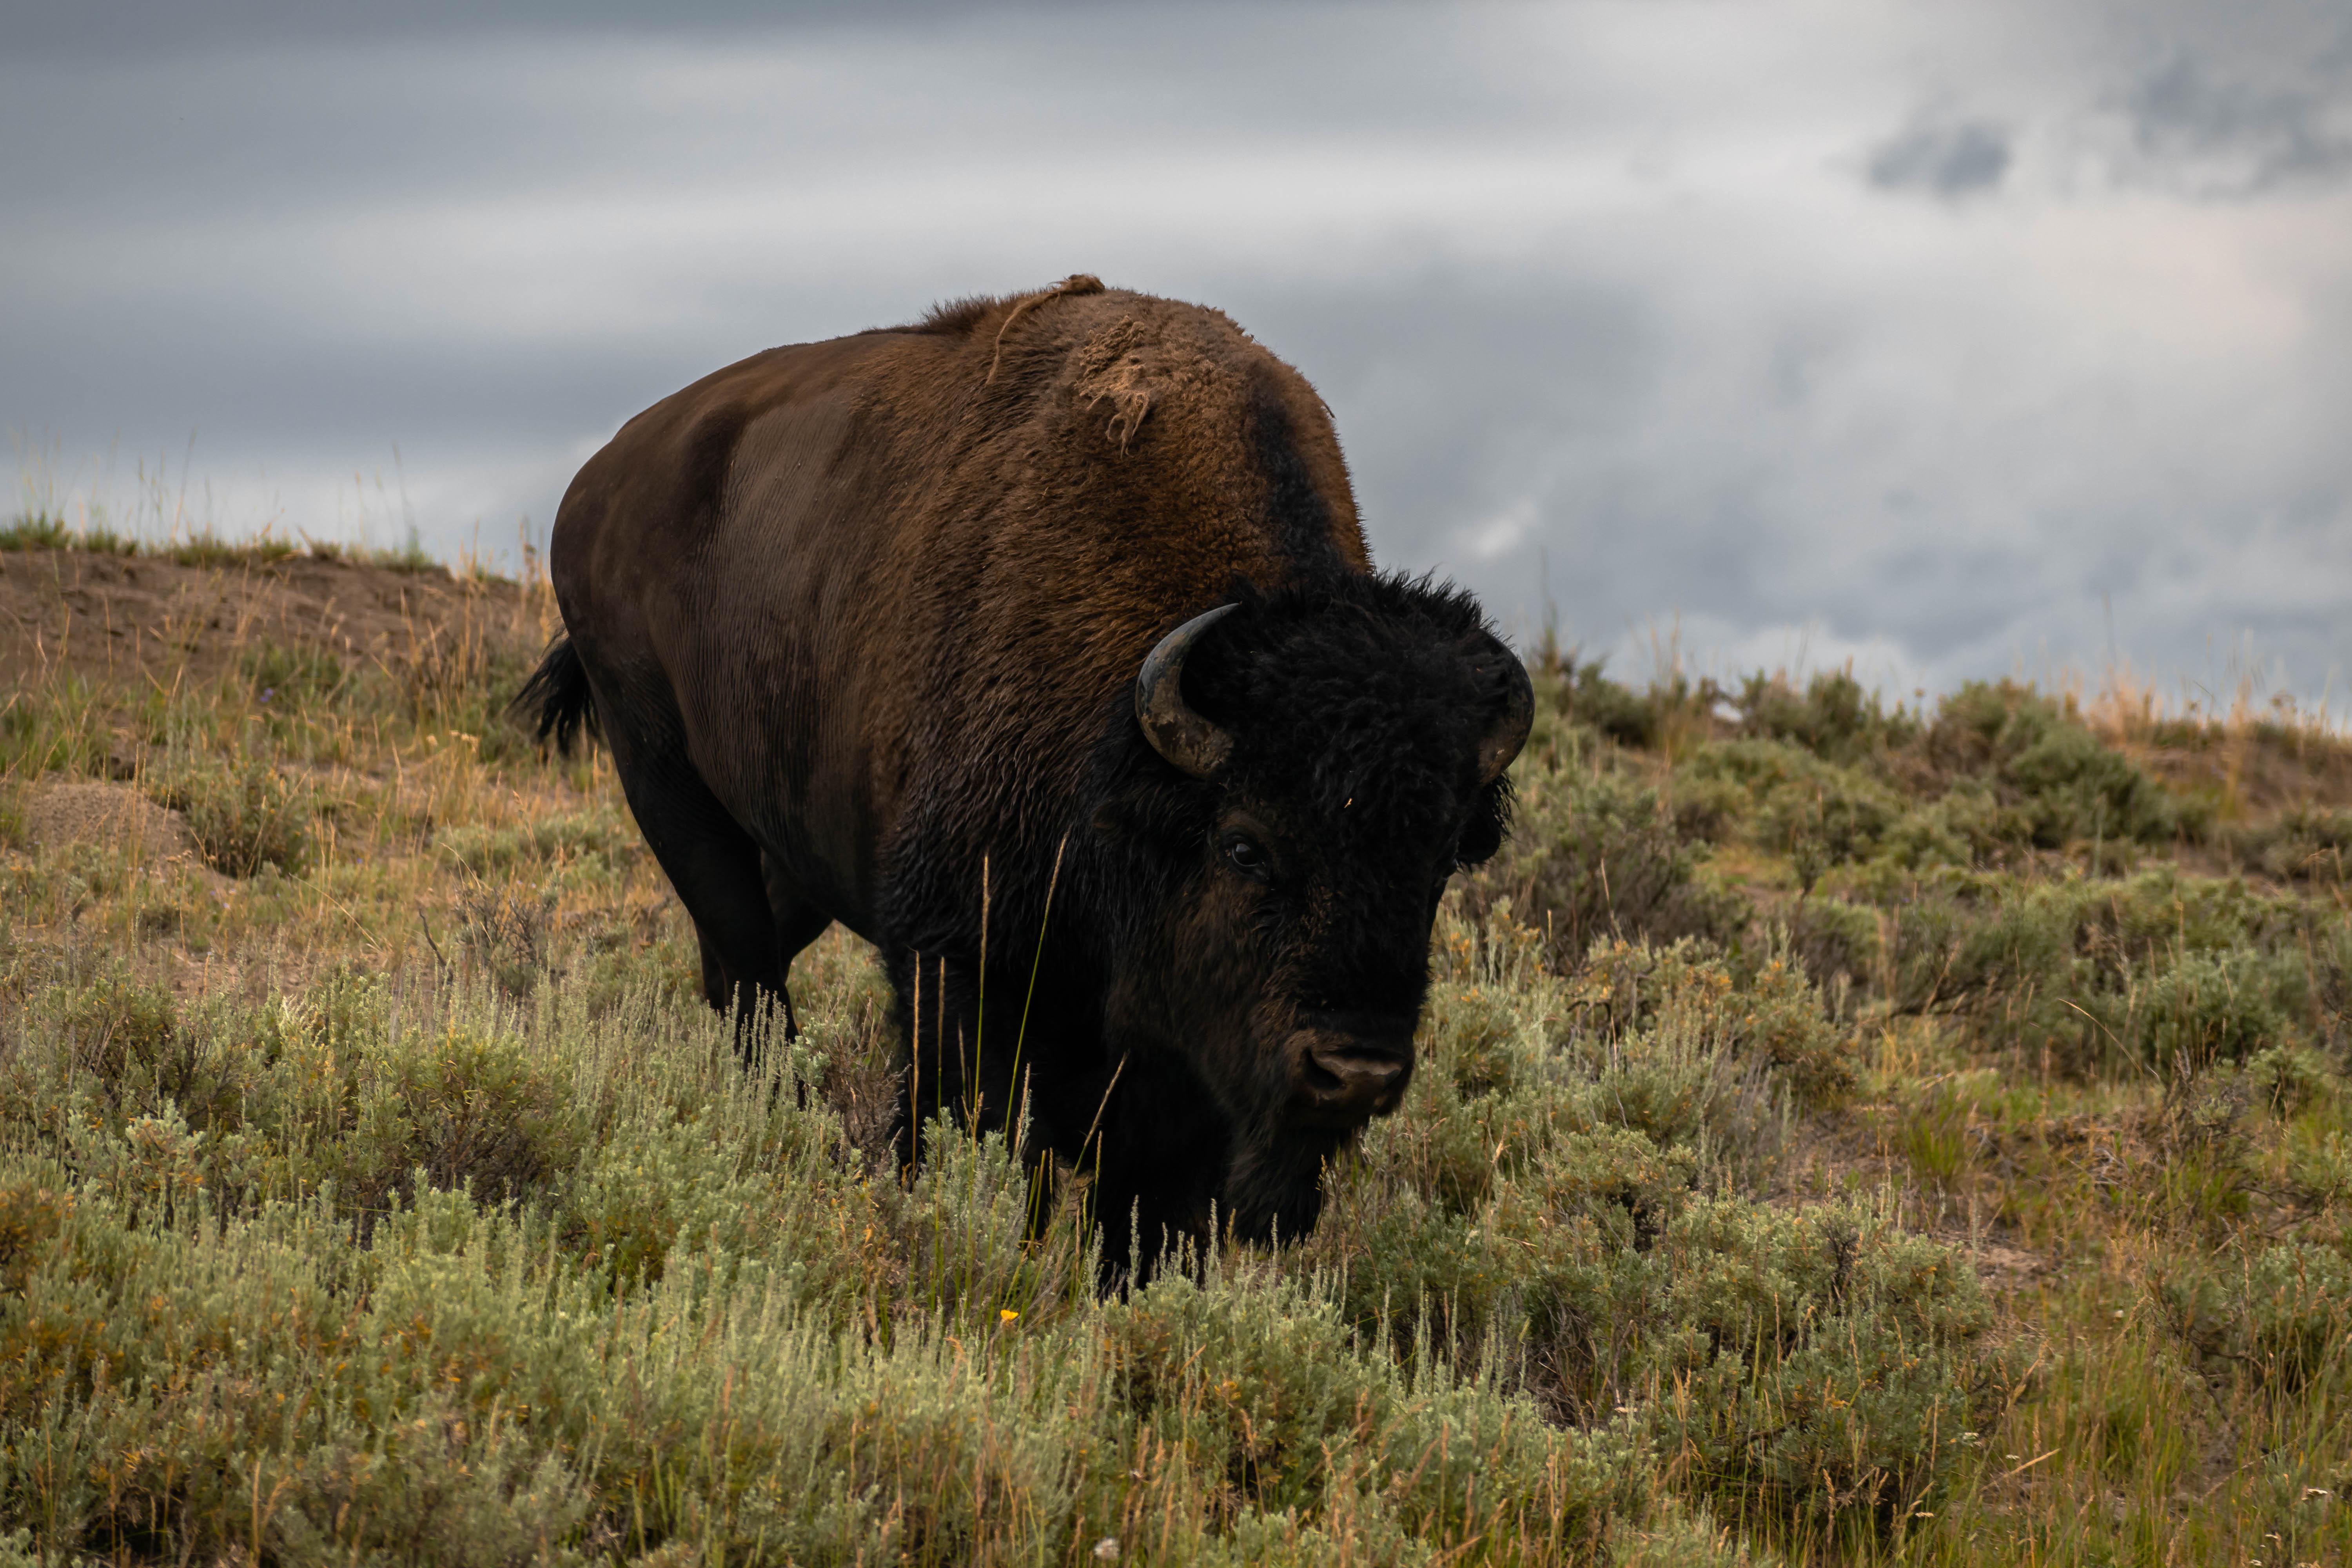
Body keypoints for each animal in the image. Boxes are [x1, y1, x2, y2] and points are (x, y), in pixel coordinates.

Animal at [519, 275, 1533, 1280]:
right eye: (1246, 844)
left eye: (1440, 862)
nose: (1355, 1070)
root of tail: (597, 480)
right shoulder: (955, 958)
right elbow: (972, 1129)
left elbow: (1143, 1214)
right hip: (664, 780)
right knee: (749, 977)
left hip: (799, 844)